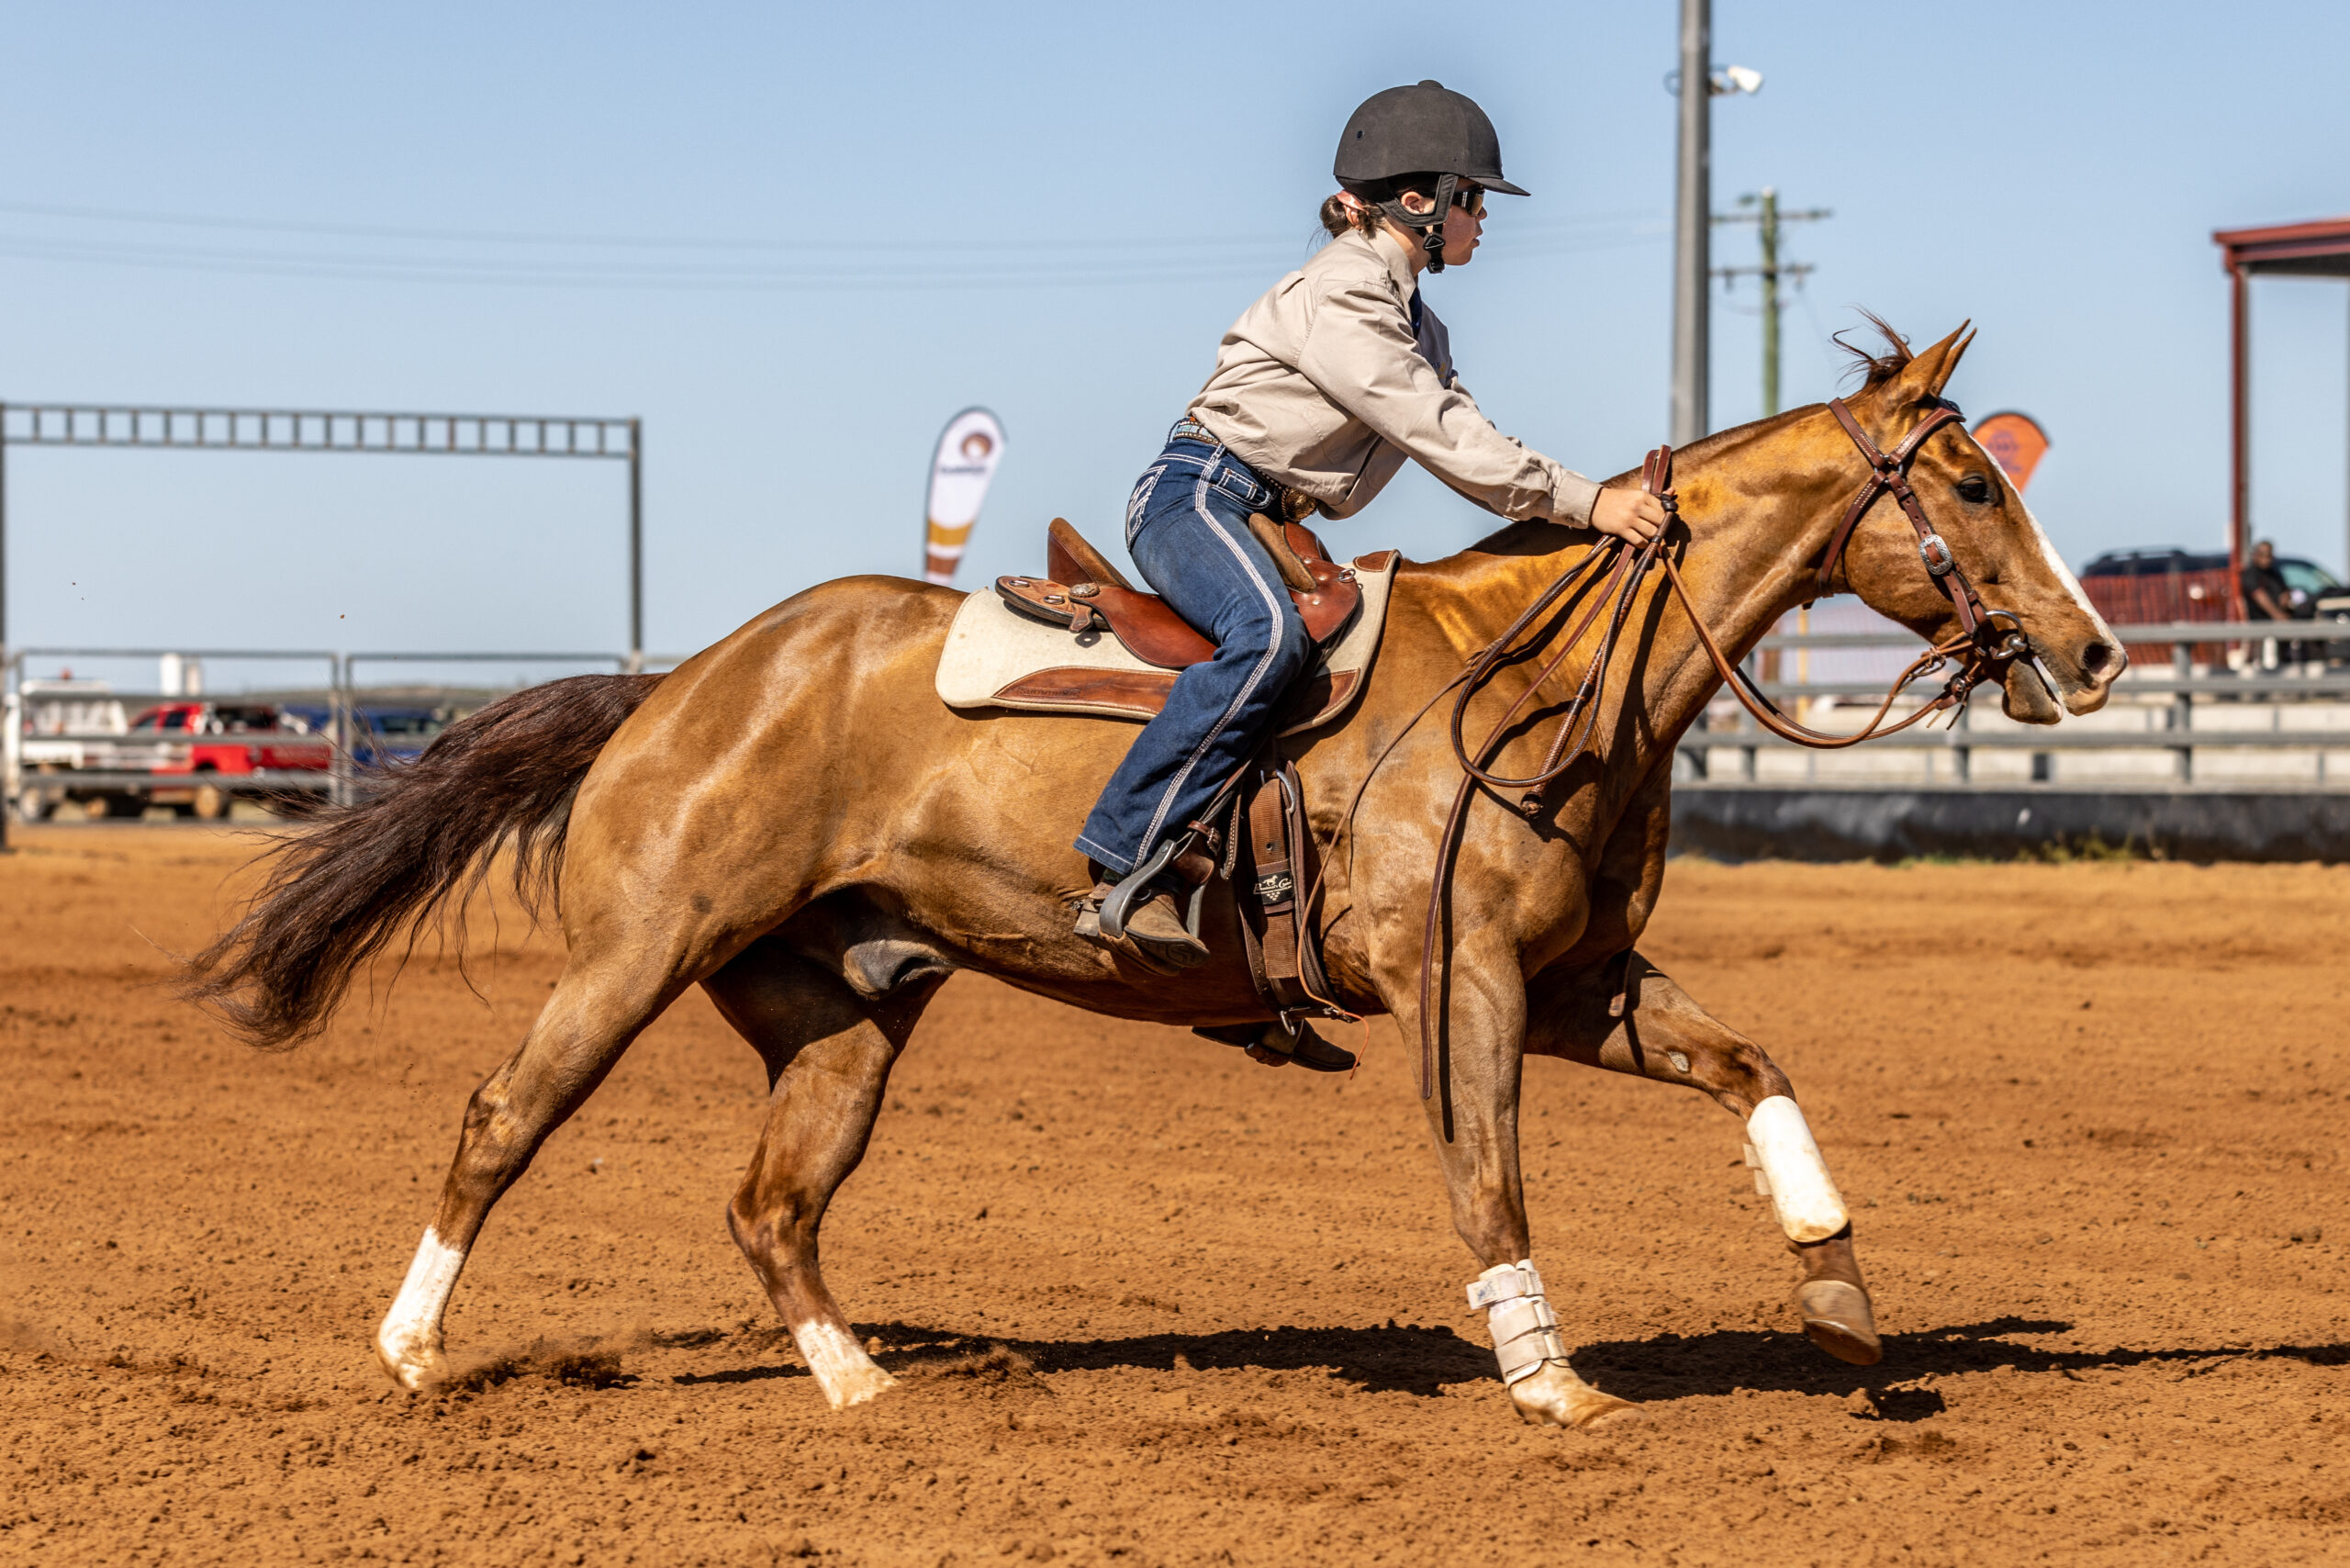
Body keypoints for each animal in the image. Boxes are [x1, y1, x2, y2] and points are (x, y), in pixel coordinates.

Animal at [187, 324, 2123, 1430]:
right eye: (1968, 478)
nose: (2095, 653)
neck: (1543, 677)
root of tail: (680, 679)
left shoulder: (1583, 985)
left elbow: (1756, 1067)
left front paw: (1837, 1295)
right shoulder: (1466, 987)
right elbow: (1488, 1175)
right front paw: (1550, 1376)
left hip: (843, 1006)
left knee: (771, 1204)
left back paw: (861, 1385)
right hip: (641, 946)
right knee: (500, 1118)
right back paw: (413, 1352)